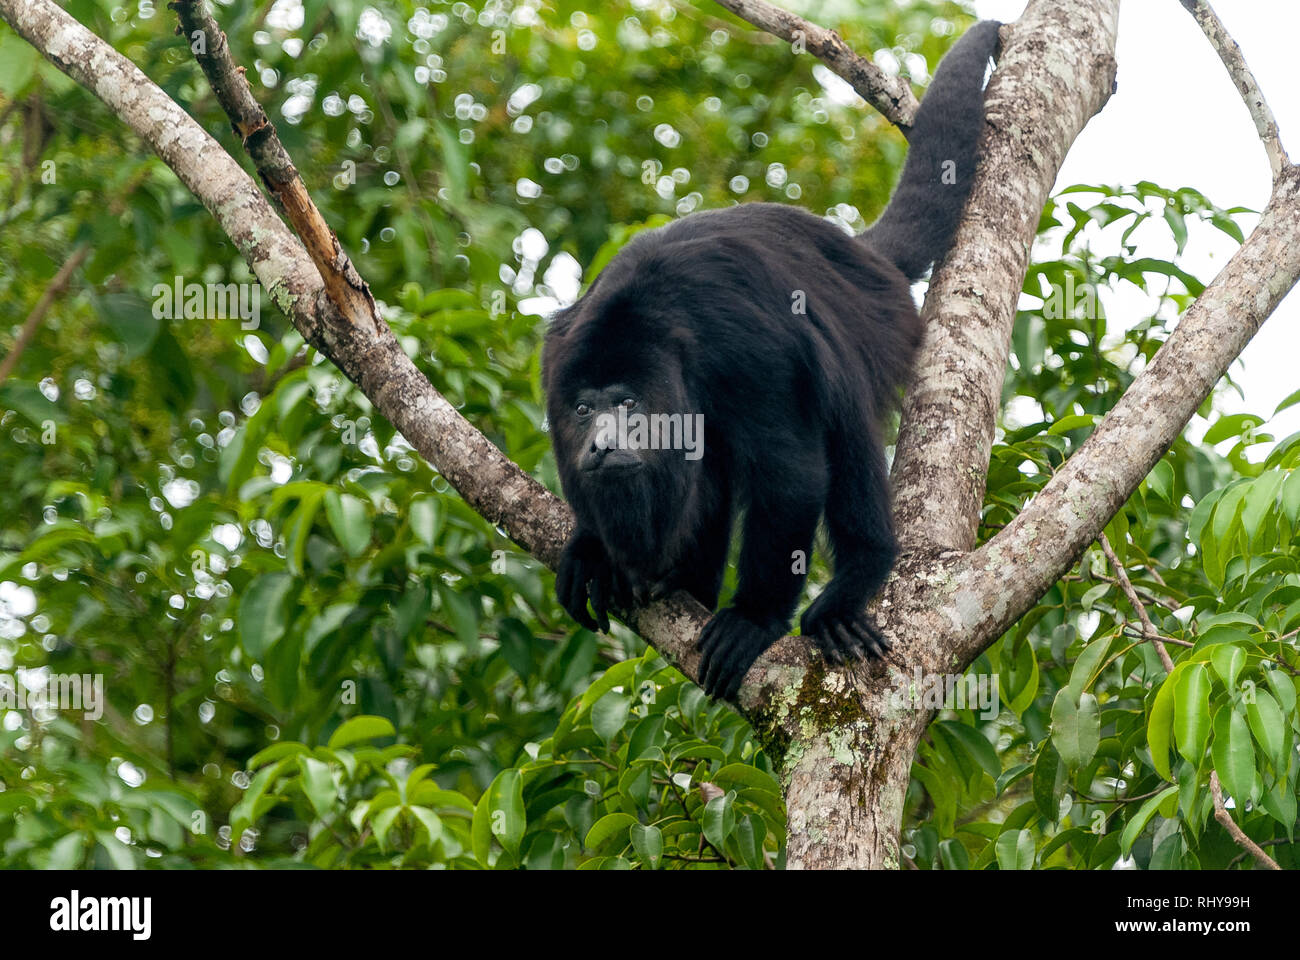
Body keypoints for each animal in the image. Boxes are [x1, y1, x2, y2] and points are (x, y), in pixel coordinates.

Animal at [542, 21, 1002, 700]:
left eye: (627, 401)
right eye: (580, 410)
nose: (601, 440)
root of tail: (860, 256)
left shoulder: (742, 349)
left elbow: (790, 474)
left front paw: (753, 619)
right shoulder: (556, 354)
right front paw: (591, 550)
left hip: (878, 329)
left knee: (843, 428)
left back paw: (853, 584)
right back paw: (685, 581)